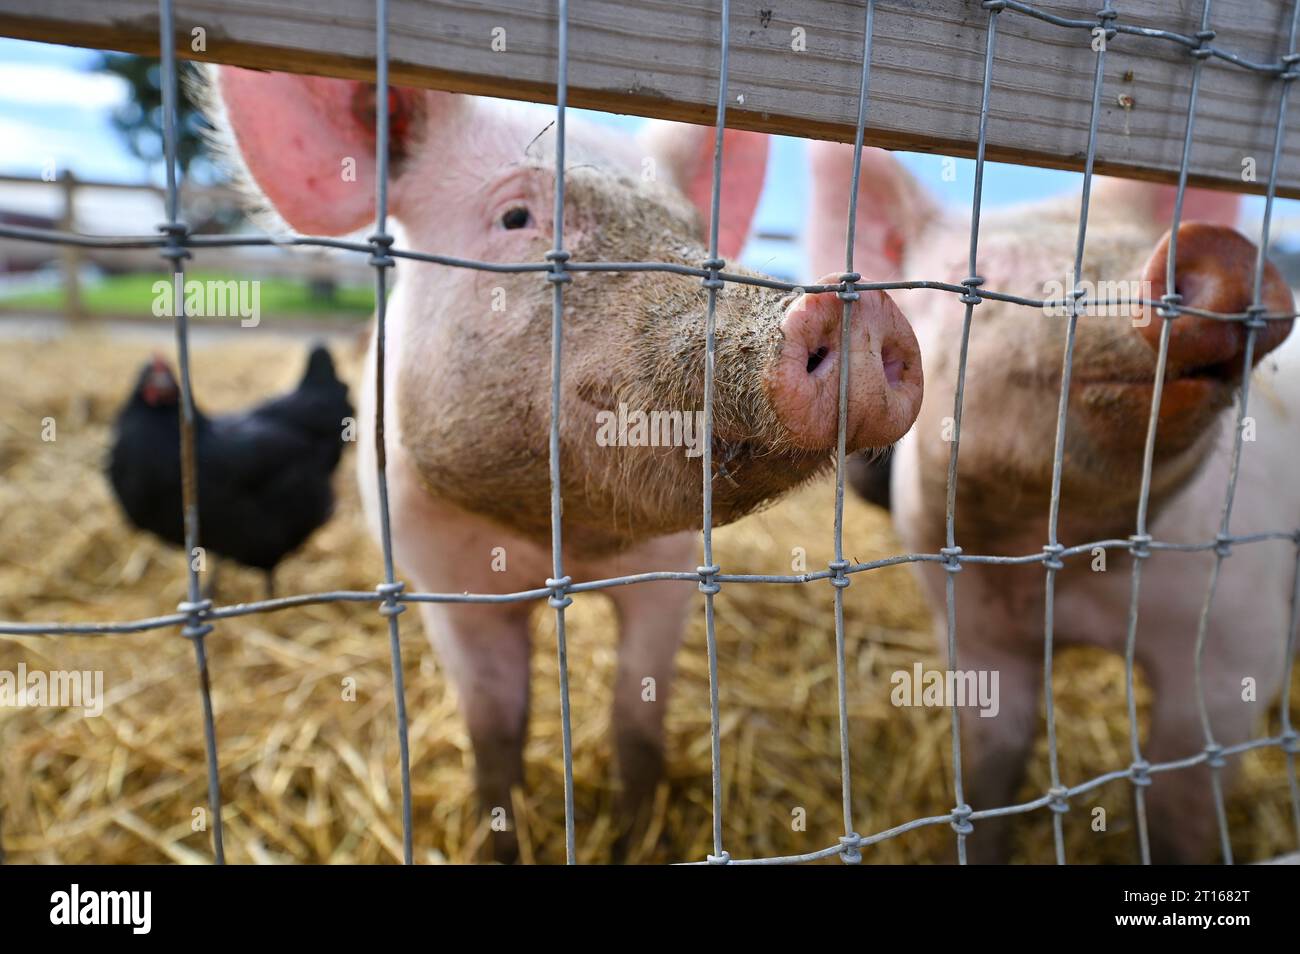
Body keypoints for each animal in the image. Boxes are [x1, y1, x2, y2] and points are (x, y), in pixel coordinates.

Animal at [210, 69, 924, 861]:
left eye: (693, 230)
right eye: (516, 217)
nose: (857, 307)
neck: (563, 543)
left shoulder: (672, 570)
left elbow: (636, 721)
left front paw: (637, 835)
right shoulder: (439, 576)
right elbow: (495, 730)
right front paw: (502, 838)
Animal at [809, 141, 1296, 864]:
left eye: (1133, 239)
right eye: (975, 276)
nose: (1218, 246)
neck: (1057, 556)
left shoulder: (1241, 638)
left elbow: (1180, 803)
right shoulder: (974, 630)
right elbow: (993, 766)